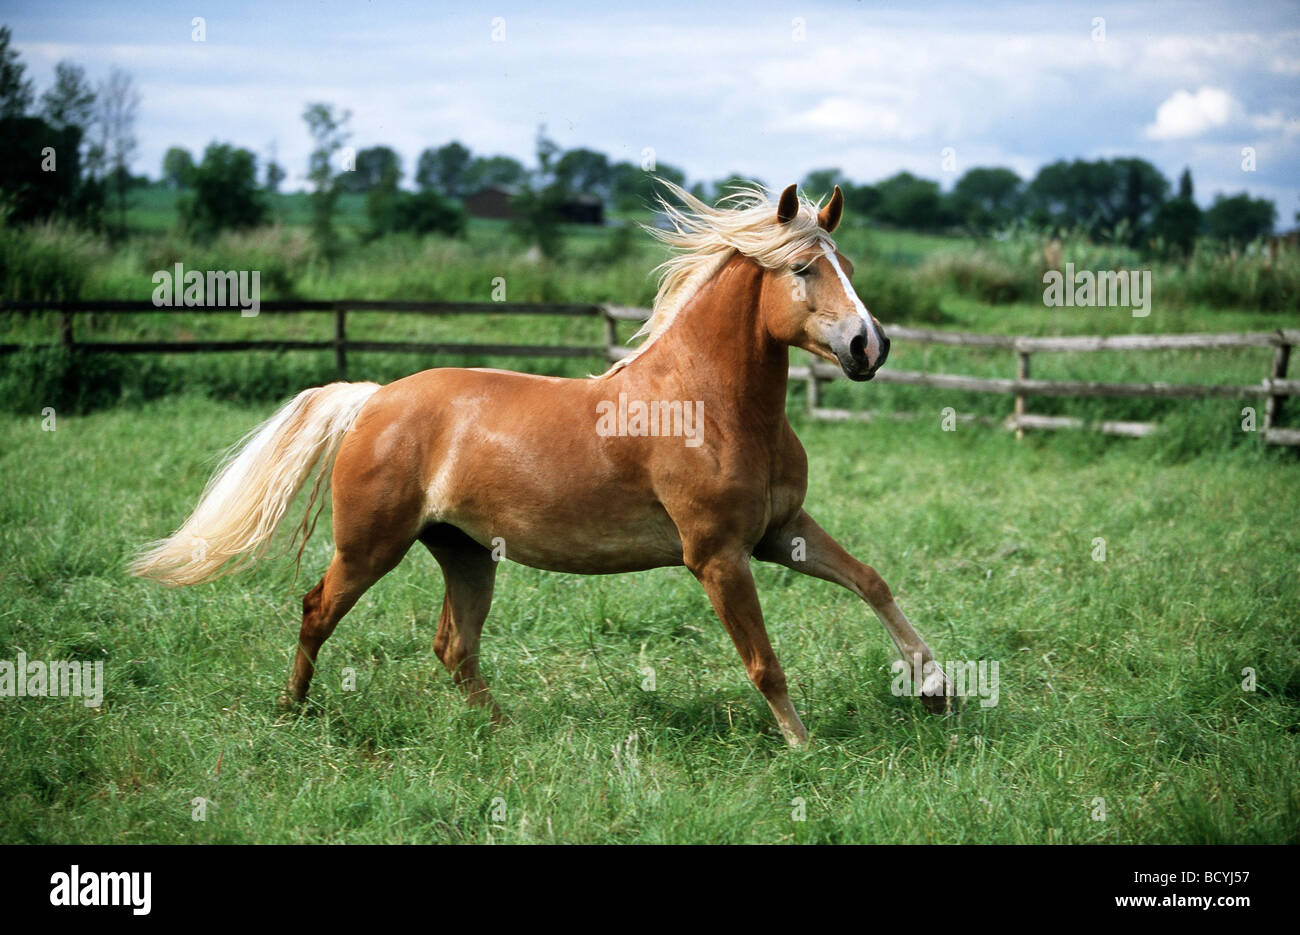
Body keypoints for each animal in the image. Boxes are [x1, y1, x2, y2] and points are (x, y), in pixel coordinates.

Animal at [130, 181, 955, 746]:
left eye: (847, 263)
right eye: (804, 269)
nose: (870, 345)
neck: (708, 403)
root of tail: (372, 399)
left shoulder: (781, 531)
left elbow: (872, 581)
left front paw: (935, 685)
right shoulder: (718, 554)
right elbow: (764, 660)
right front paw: (802, 745)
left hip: (465, 551)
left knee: (454, 645)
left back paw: (505, 728)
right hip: (370, 545)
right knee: (316, 610)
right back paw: (292, 710)